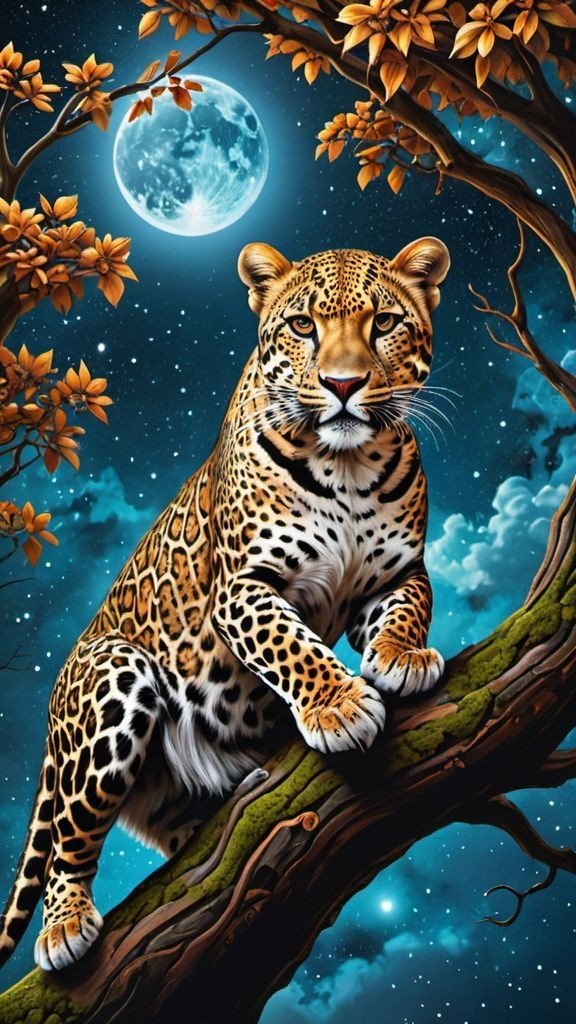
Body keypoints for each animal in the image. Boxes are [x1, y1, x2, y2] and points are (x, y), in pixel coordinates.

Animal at [0, 234, 450, 972]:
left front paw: (401, 656)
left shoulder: (398, 572)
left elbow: (408, 608)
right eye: (303, 326)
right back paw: (64, 927)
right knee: (69, 841)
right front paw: (339, 706)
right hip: (111, 679)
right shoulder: (241, 588)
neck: (347, 468)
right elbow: (291, 643)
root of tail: (52, 709)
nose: (344, 385)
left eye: (384, 323)